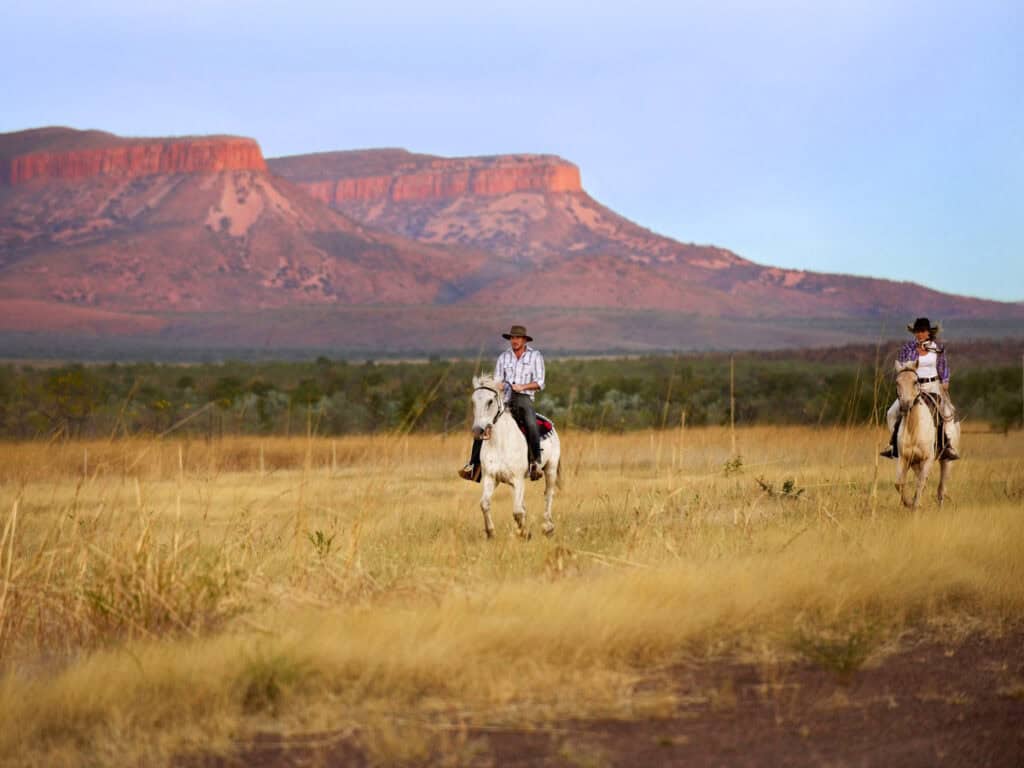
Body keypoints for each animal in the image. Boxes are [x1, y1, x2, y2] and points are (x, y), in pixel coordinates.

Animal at [468, 376, 561, 536]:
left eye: (490, 401)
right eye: (473, 401)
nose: (478, 431)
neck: (500, 443)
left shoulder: (518, 479)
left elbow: (517, 511)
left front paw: (524, 533)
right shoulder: (491, 477)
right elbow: (485, 504)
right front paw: (491, 532)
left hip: (551, 469)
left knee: (548, 494)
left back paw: (548, 527)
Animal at [897, 362, 950, 507]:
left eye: (916, 381)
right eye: (897, 382)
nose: (905, 405)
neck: (913, 429)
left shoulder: (928, 459)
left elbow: (920, 483)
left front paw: (915, 506)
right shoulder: (904, 458)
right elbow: (899, 484)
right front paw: (908, 503)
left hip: (946, 460)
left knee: (941, 486)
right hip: (915, 463)